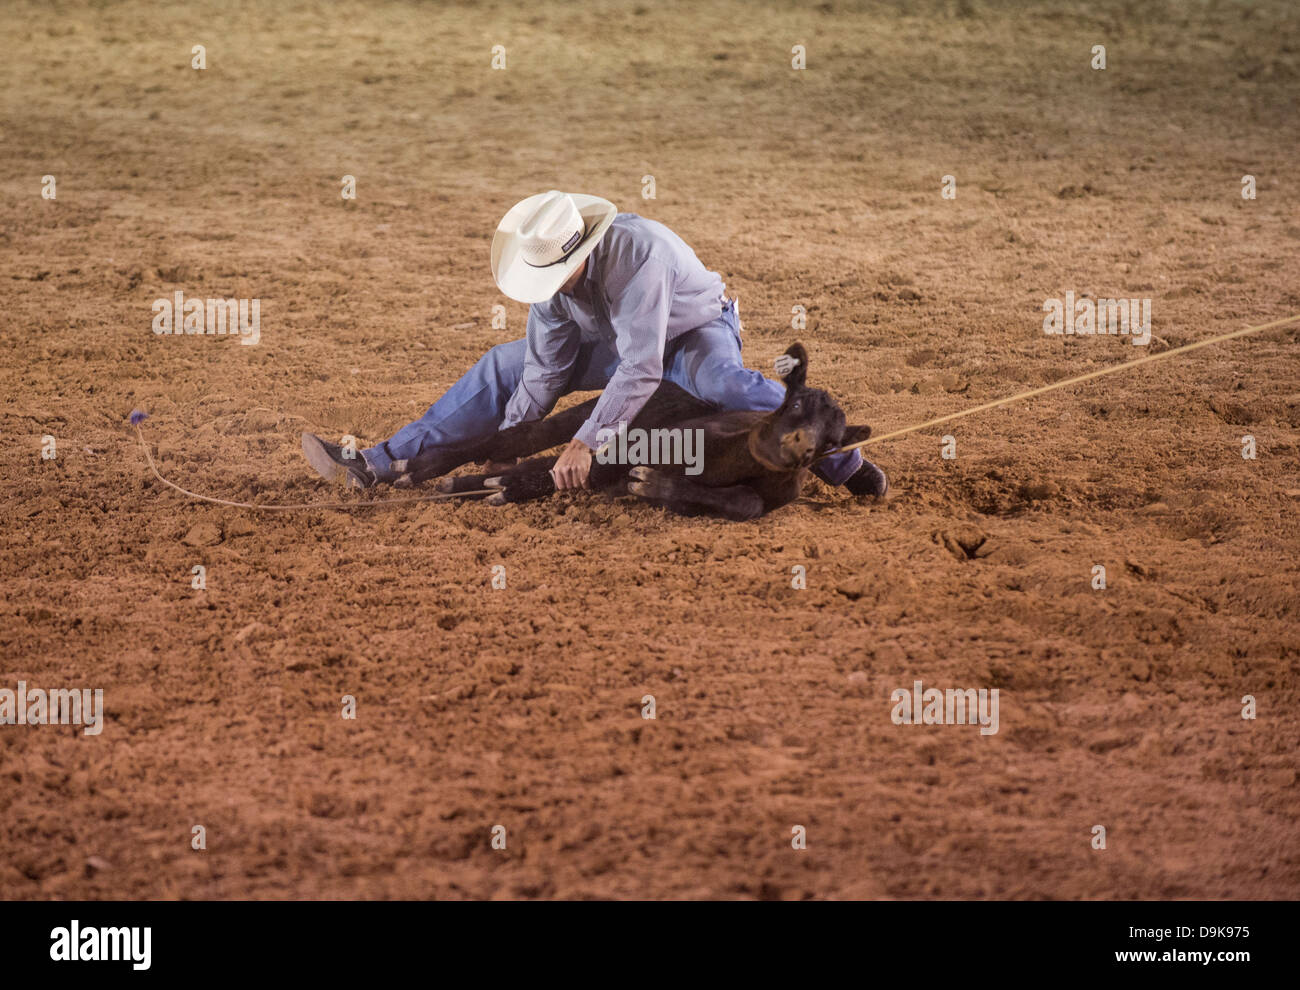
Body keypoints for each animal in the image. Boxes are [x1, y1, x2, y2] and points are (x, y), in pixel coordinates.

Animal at [391, 343, 875, 521]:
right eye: (794, 403)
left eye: (832, 442)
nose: (800, 448)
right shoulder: (627, 447)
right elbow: (555, 470)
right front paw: (499, 485)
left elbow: (749, 503)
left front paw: (654, 486)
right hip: (589, 415)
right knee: (515, 440)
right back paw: (420, 469)